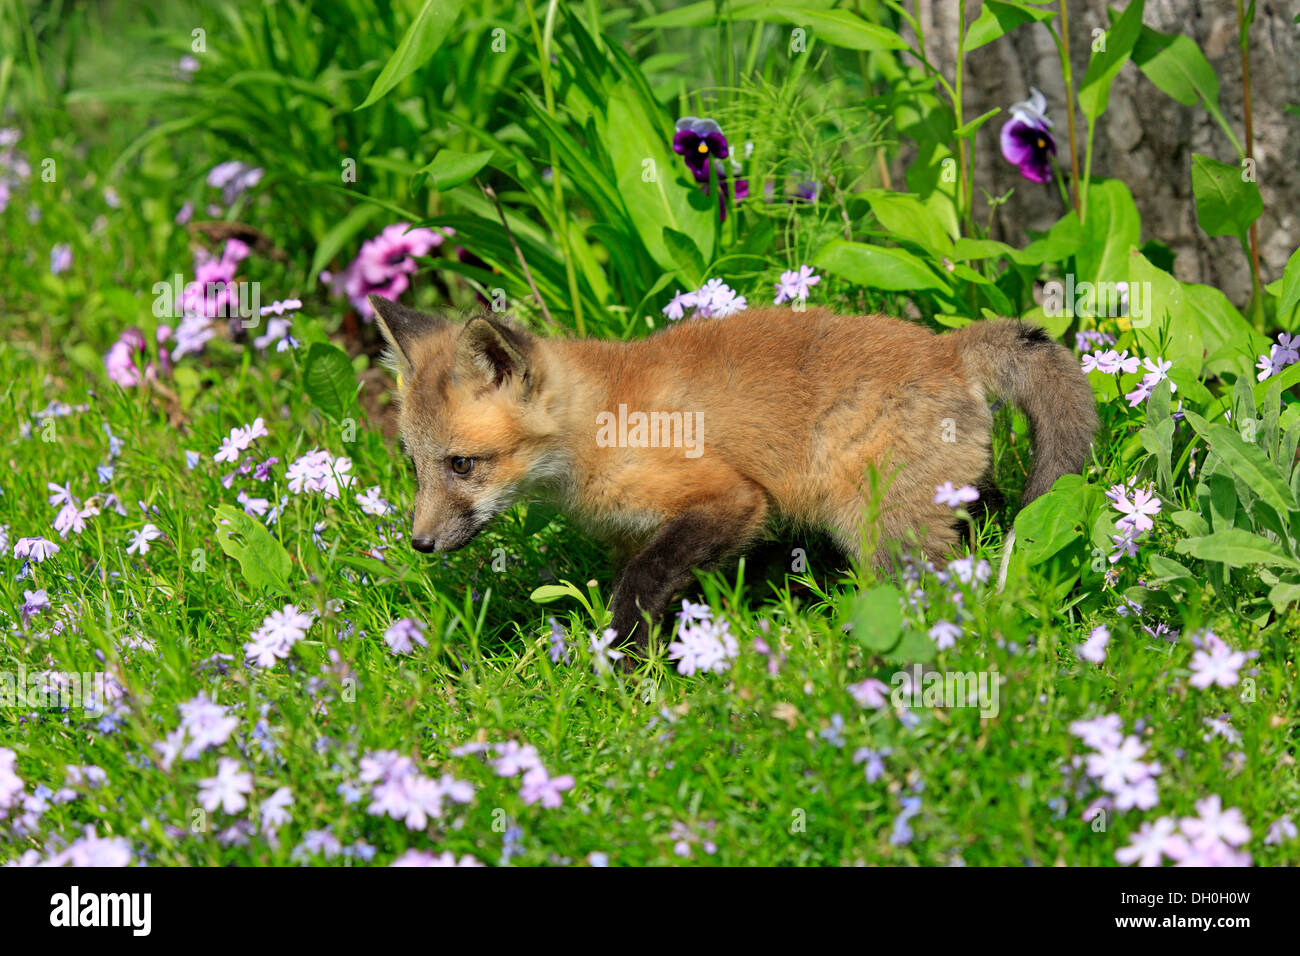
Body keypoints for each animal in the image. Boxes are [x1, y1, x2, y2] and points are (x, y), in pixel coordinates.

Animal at [370, 294, 1097, 654]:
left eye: (463, 464)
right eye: (416, 465)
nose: (420, 543)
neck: (598, 430)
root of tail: (948, 347)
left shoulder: (732, 498)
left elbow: (639, 586)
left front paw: (625, 664)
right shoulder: (650, 533)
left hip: (883, 534)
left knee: (948, 596)